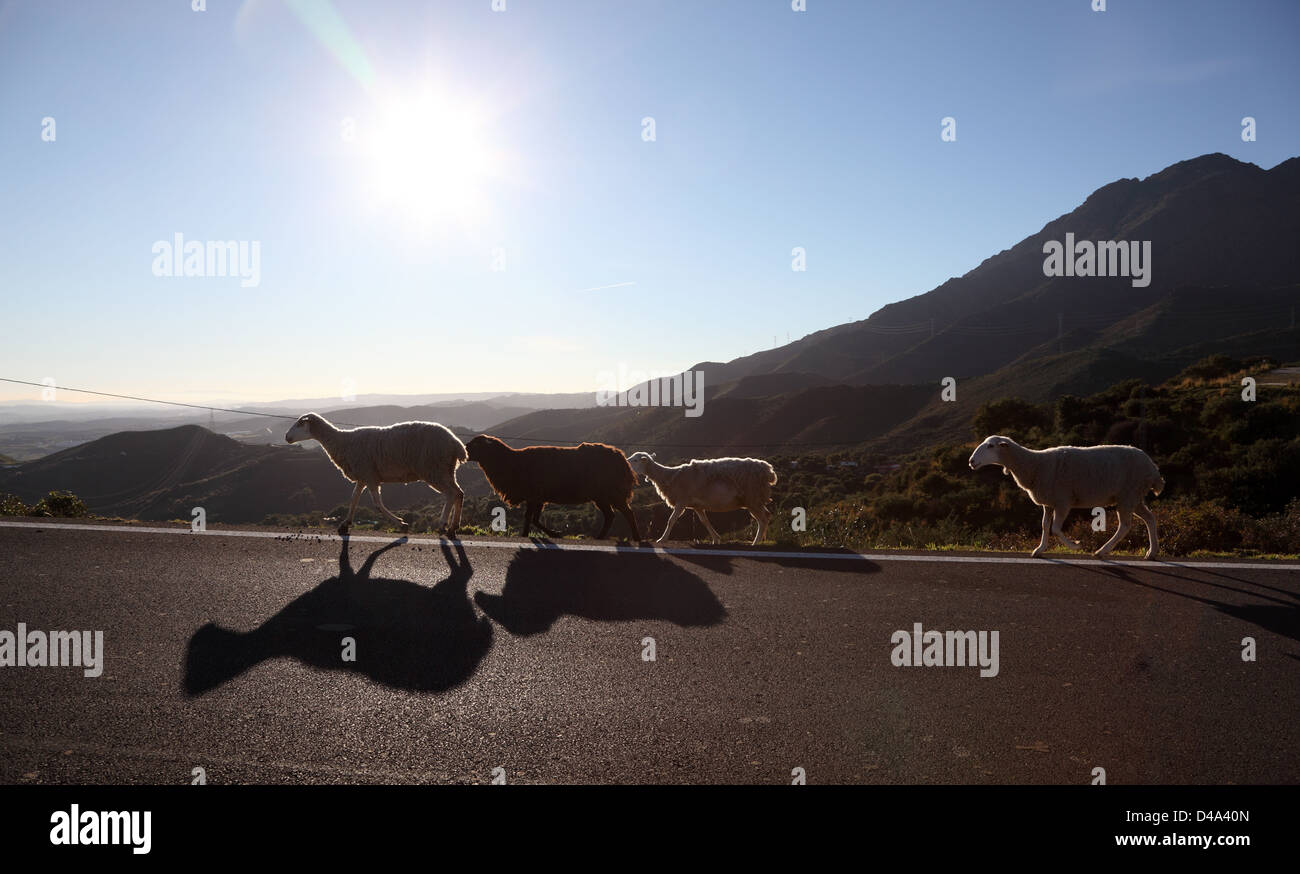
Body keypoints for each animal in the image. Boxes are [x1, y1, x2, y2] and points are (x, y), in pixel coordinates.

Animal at [285, 413, 467, 536]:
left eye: (300, 423)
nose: (286, 437)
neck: (342, 441)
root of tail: (457, 444)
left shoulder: (370, 476)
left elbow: (377, 504)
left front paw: (401, 524)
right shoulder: (363, 476)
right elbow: (353, 499)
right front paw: (345, 523)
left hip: (434, 469)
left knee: (451, 494)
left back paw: (443, 524)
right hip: (446, 470)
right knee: (459, 493)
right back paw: (453, 527)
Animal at [464, 435, 641, 540]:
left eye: (474, 445)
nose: (463, 452)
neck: (510, 462)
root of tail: (622, 460)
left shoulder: (534, 495)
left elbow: (530, 518)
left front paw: (546, 534)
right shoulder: (538, 497)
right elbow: (533, 519)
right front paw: (543, 534)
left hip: (612, 492)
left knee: (628, 513)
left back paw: (636, 538)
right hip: (602, 496)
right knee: (611, 515)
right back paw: (601, 537)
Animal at [626, 451, 778, 546]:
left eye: (635, 460)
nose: (626, 463)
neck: (670, 476)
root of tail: (768, 470)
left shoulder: (682, 500)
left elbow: (671, 520)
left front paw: (662, 539)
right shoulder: (697, 505)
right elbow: (705, 521)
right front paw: (716, 539)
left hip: (753, 497)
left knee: (763, 519)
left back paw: (755, 543)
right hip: (754, 499)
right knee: (766, 516)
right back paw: (760, 540)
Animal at [968, 435, 1165, 559]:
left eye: (991, 446)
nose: (971, 461)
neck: (1034, 465)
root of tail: (1153, 469)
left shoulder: (1063, 501)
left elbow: (1055, 528)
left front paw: (1076, 545)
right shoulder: (1048, 503)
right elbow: (1044, 526)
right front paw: (1039, 550)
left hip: (1128, 494)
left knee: (1125, 525)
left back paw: (1102, 551)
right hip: (1134, 497)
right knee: (1150, 518)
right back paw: (1152, 552)